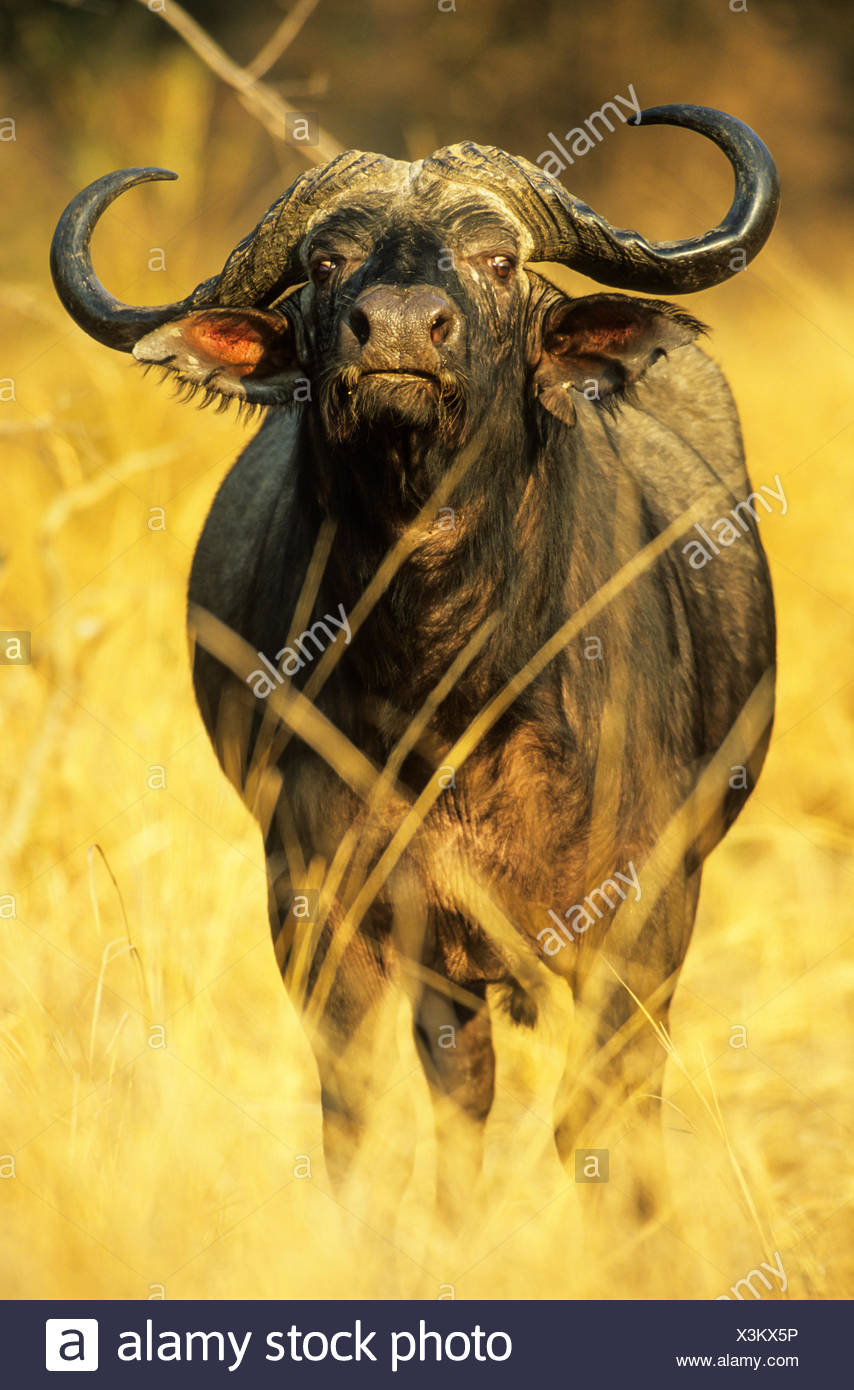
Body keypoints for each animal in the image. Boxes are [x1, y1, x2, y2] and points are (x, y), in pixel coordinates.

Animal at [51, 104, 778, 1217]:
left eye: (496, 260)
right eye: (326, 260)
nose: (396, 329)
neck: (447, 682)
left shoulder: (643, 914)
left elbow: (602, 1129)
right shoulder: (320, 911)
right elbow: (362, 1121)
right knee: (459, 1088)